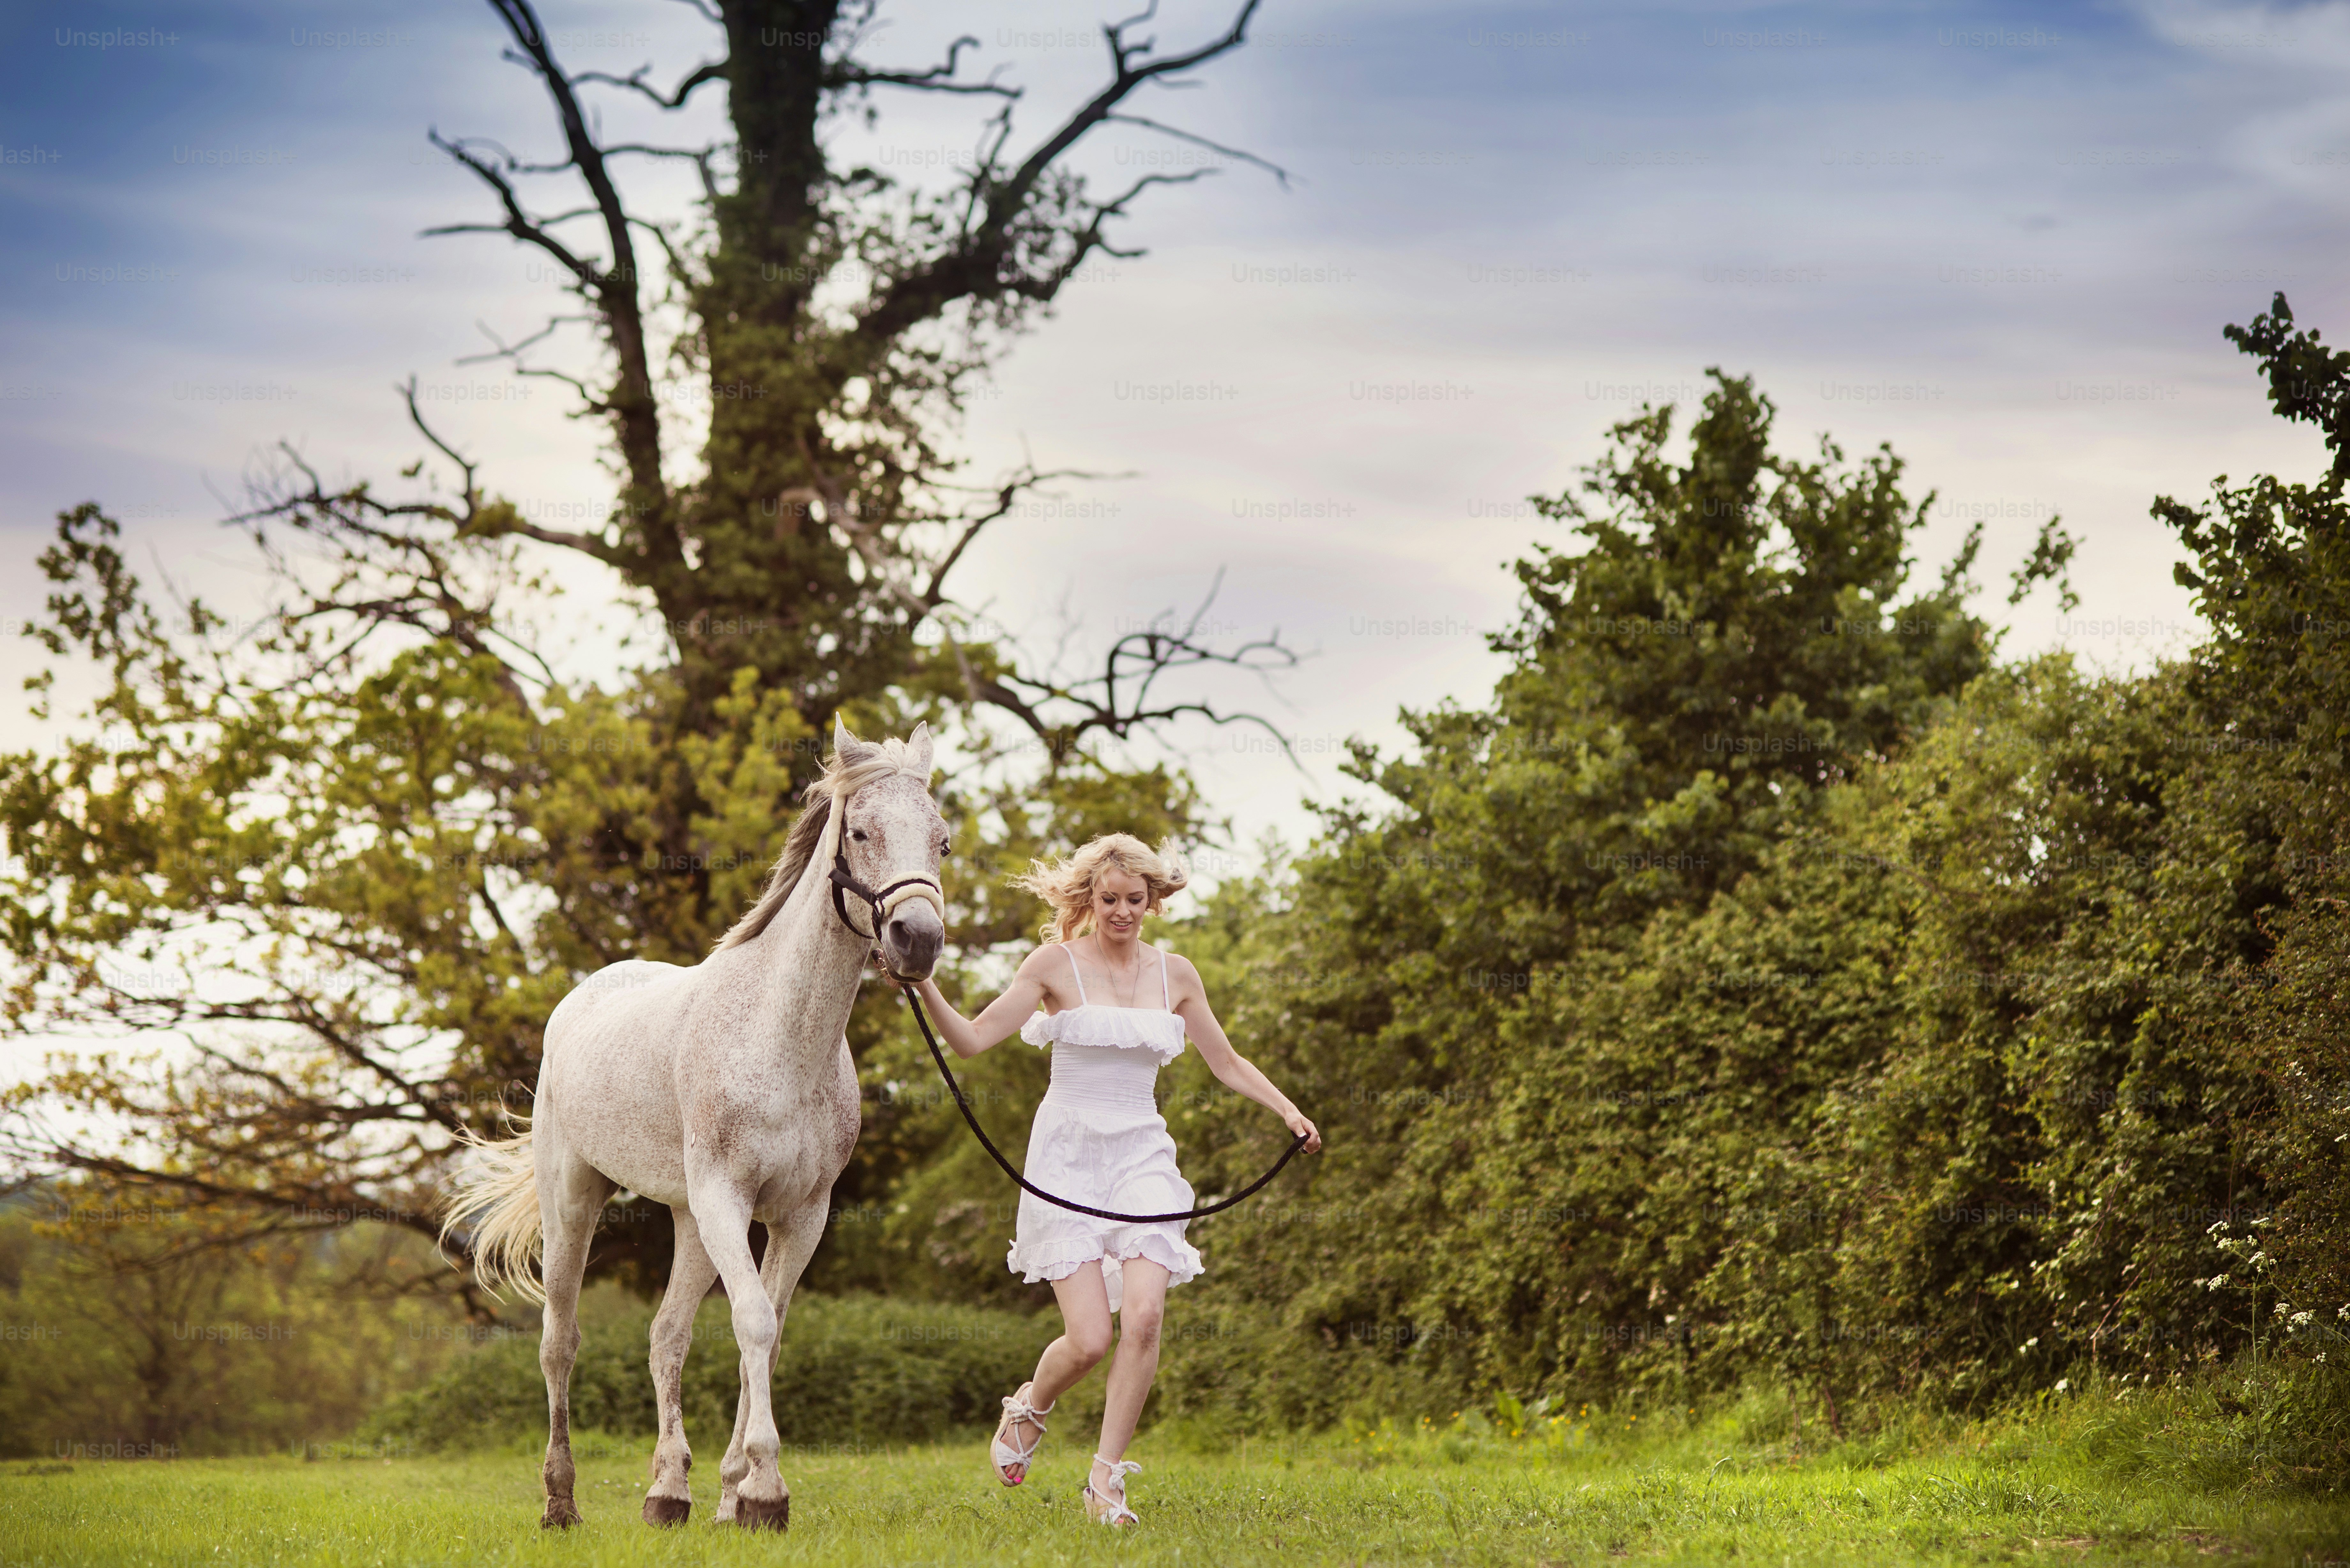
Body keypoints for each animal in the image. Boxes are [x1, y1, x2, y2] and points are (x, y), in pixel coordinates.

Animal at [440, 718, 948, 1531]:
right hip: (575, 1199)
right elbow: (753, 1322)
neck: (779, 1037)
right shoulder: (725, 1200)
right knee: (559, 1342)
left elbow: (762, 1336)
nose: (917, 939)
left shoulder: (801, 1214)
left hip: (687, 1221)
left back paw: (667, 1492)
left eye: (941, 840)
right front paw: (767, 1491)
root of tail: (581, 1000)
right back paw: (560, 1501)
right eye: (861, 830)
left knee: (665, 1335)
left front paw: (734, 1494)